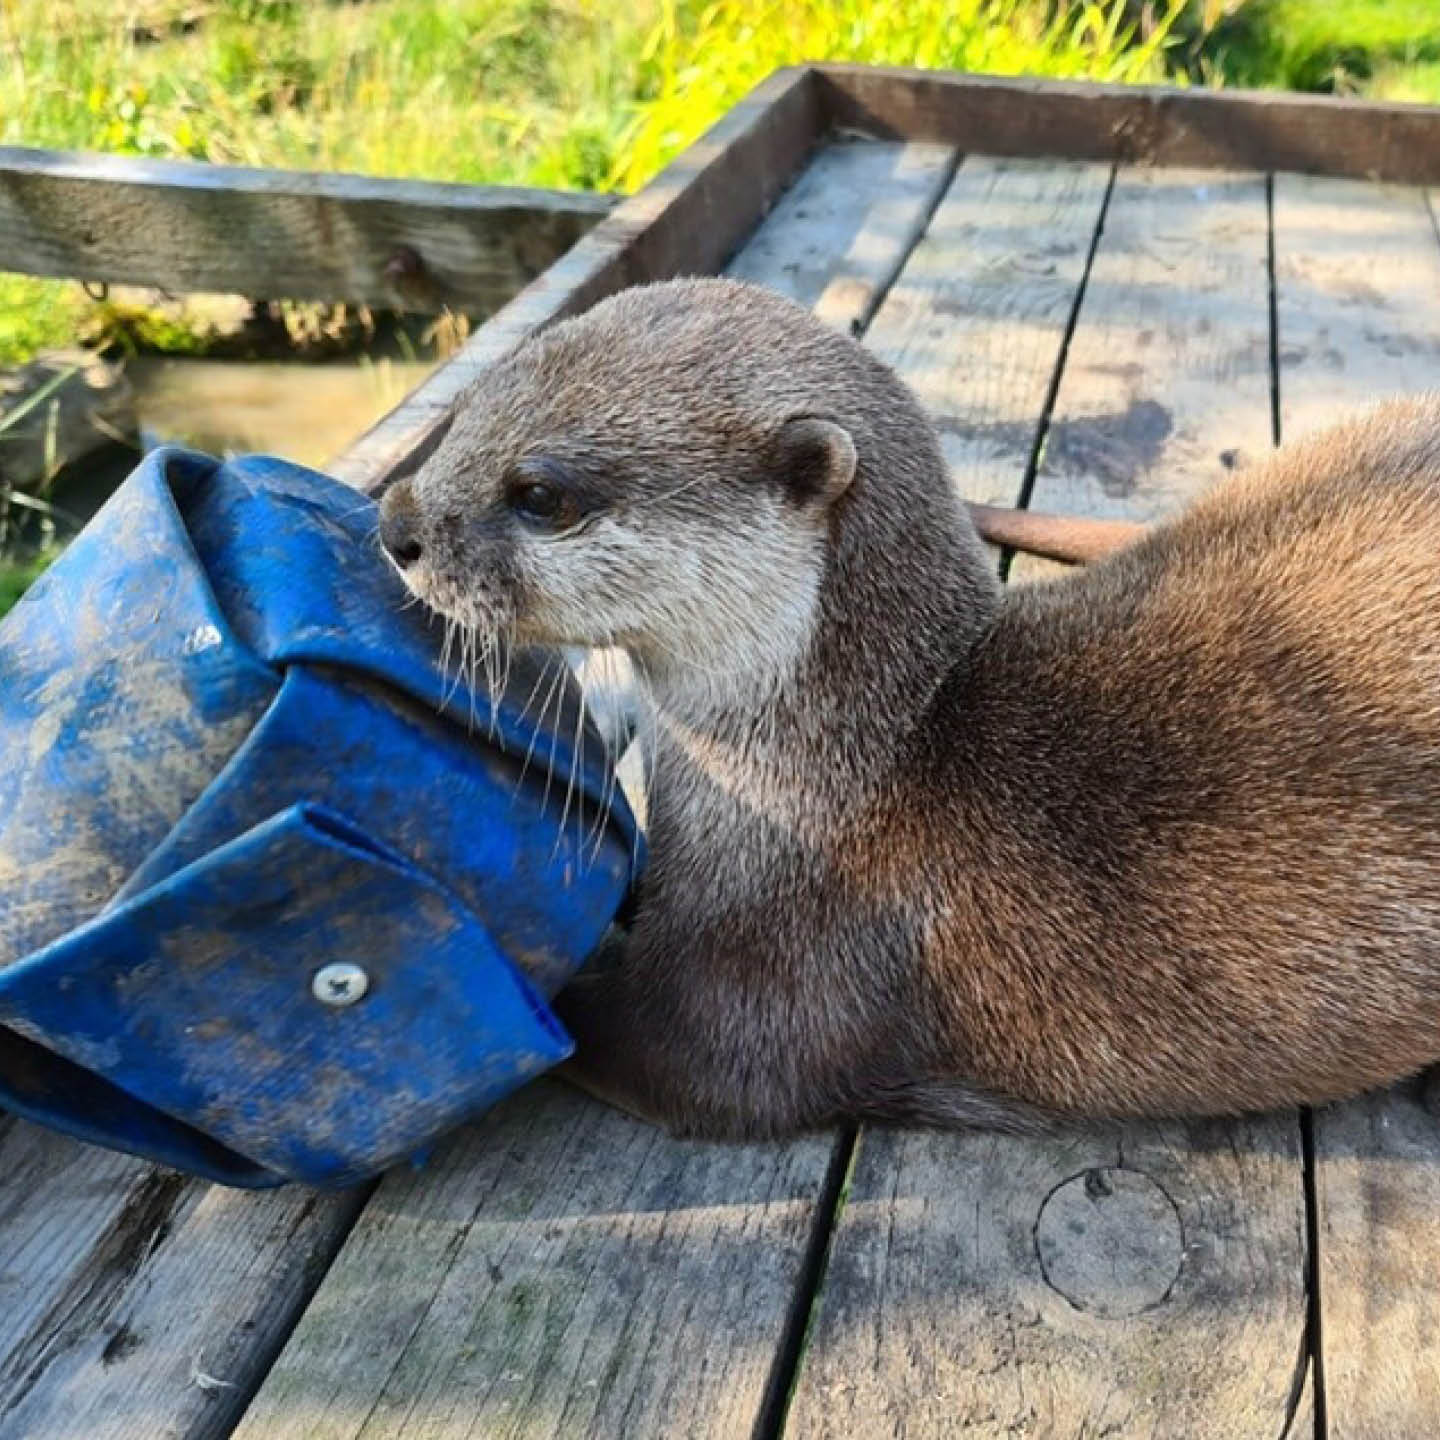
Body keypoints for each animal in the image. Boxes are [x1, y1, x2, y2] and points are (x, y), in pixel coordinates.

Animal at [377, 276, 1440, 1139]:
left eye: (541, 493)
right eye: (467, 410)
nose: (394, 521)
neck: (845, 775)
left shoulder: (780, 990)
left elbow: (654, 1054)